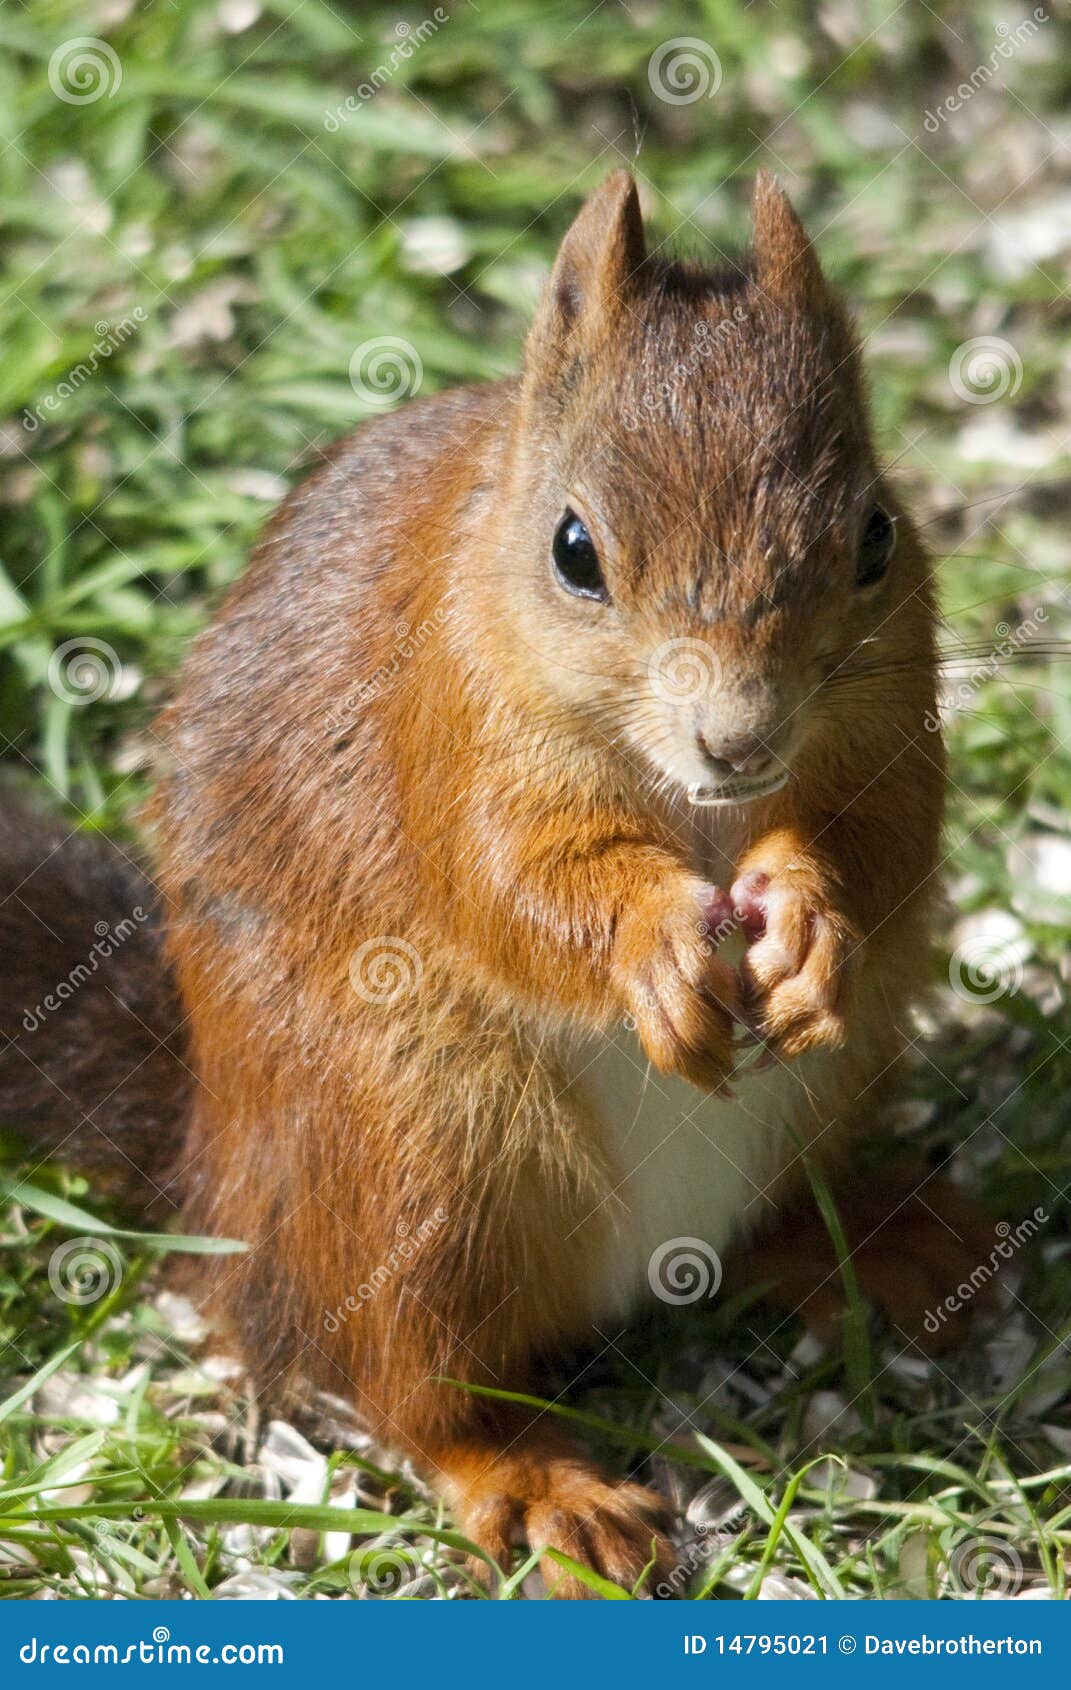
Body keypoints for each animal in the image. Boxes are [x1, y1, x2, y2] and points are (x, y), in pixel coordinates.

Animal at [0, 172, 990, 1595]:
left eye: (876, 537)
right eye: (574, 550)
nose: (739, 741)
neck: (699, 815)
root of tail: (221, 1187)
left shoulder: (894, 711)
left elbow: (889, 831)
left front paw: (809, 914)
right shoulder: (450, 722)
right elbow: (508, 880)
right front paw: (649, 945)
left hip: (818, 1089)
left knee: (755, 1229)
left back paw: (875, 1231)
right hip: (417, 1157)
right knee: (407, 1387)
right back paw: (539, 1486)